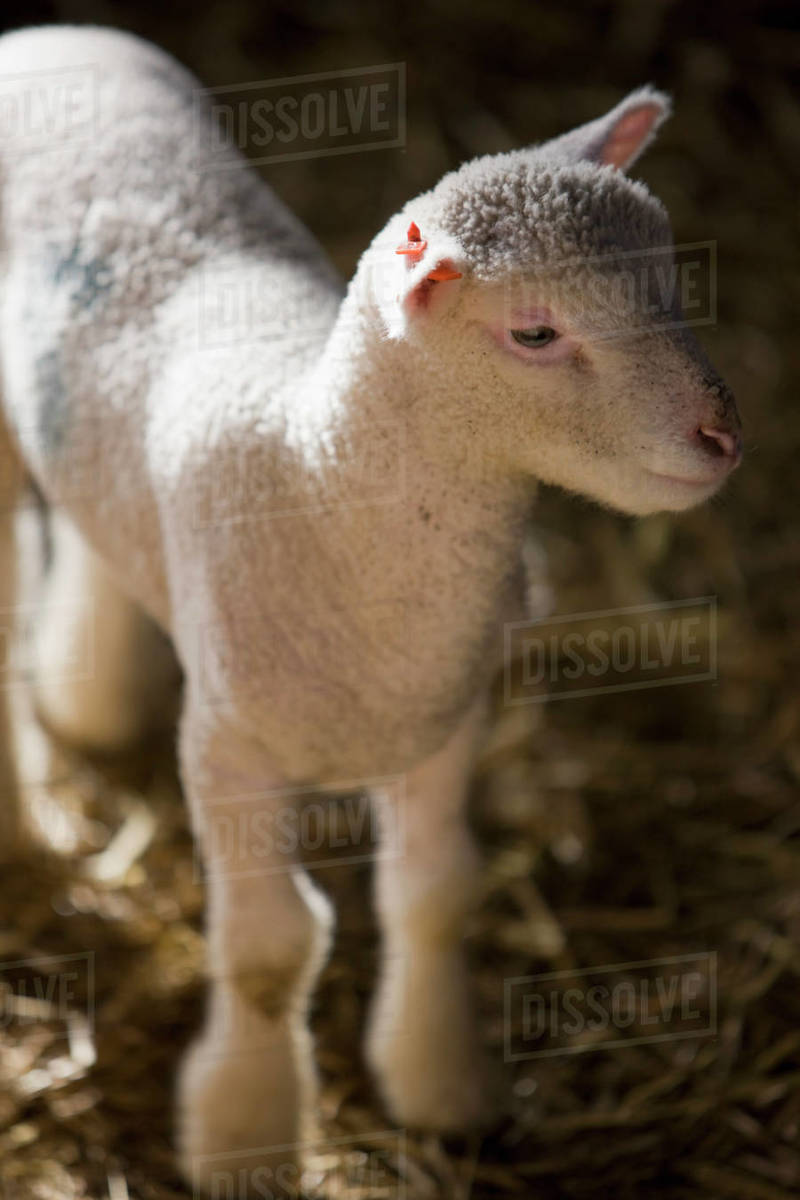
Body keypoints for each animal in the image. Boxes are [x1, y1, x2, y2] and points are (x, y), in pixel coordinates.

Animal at [0, 24, 742, 1196]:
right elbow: (268, 956)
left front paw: (442, 1091)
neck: (319, 477)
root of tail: (46, 35)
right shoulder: (226, 752)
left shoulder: (445, 718)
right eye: (536, 333)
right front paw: (246, 1138)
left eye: (672, 281)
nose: (722, 437)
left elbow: (434, 895)